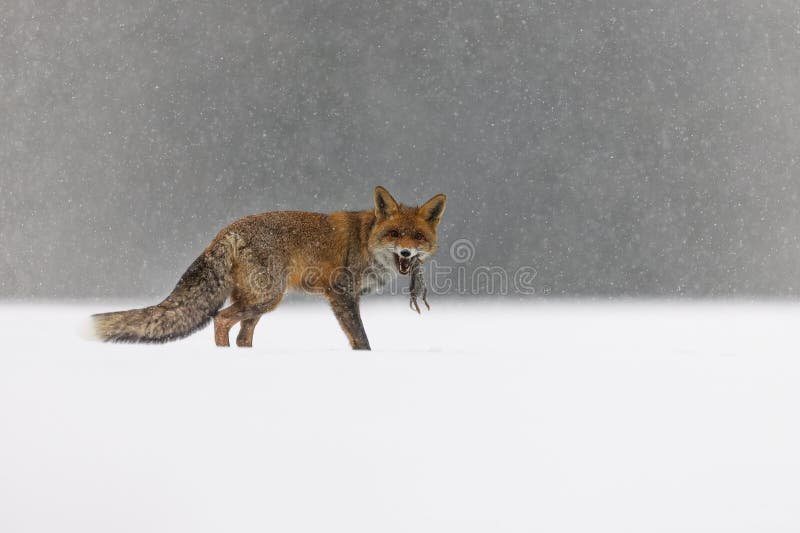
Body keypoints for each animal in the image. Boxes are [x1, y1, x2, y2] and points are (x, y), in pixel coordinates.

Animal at [91, 186, 446, 350]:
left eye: (417, 236)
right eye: (394, 233)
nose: (406, 251)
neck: (365, 240)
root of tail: (227, 230)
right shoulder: (341, 294)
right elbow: (361, 339)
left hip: (259, 301)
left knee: (242, 337)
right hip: (266, 297)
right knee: (221, 319)